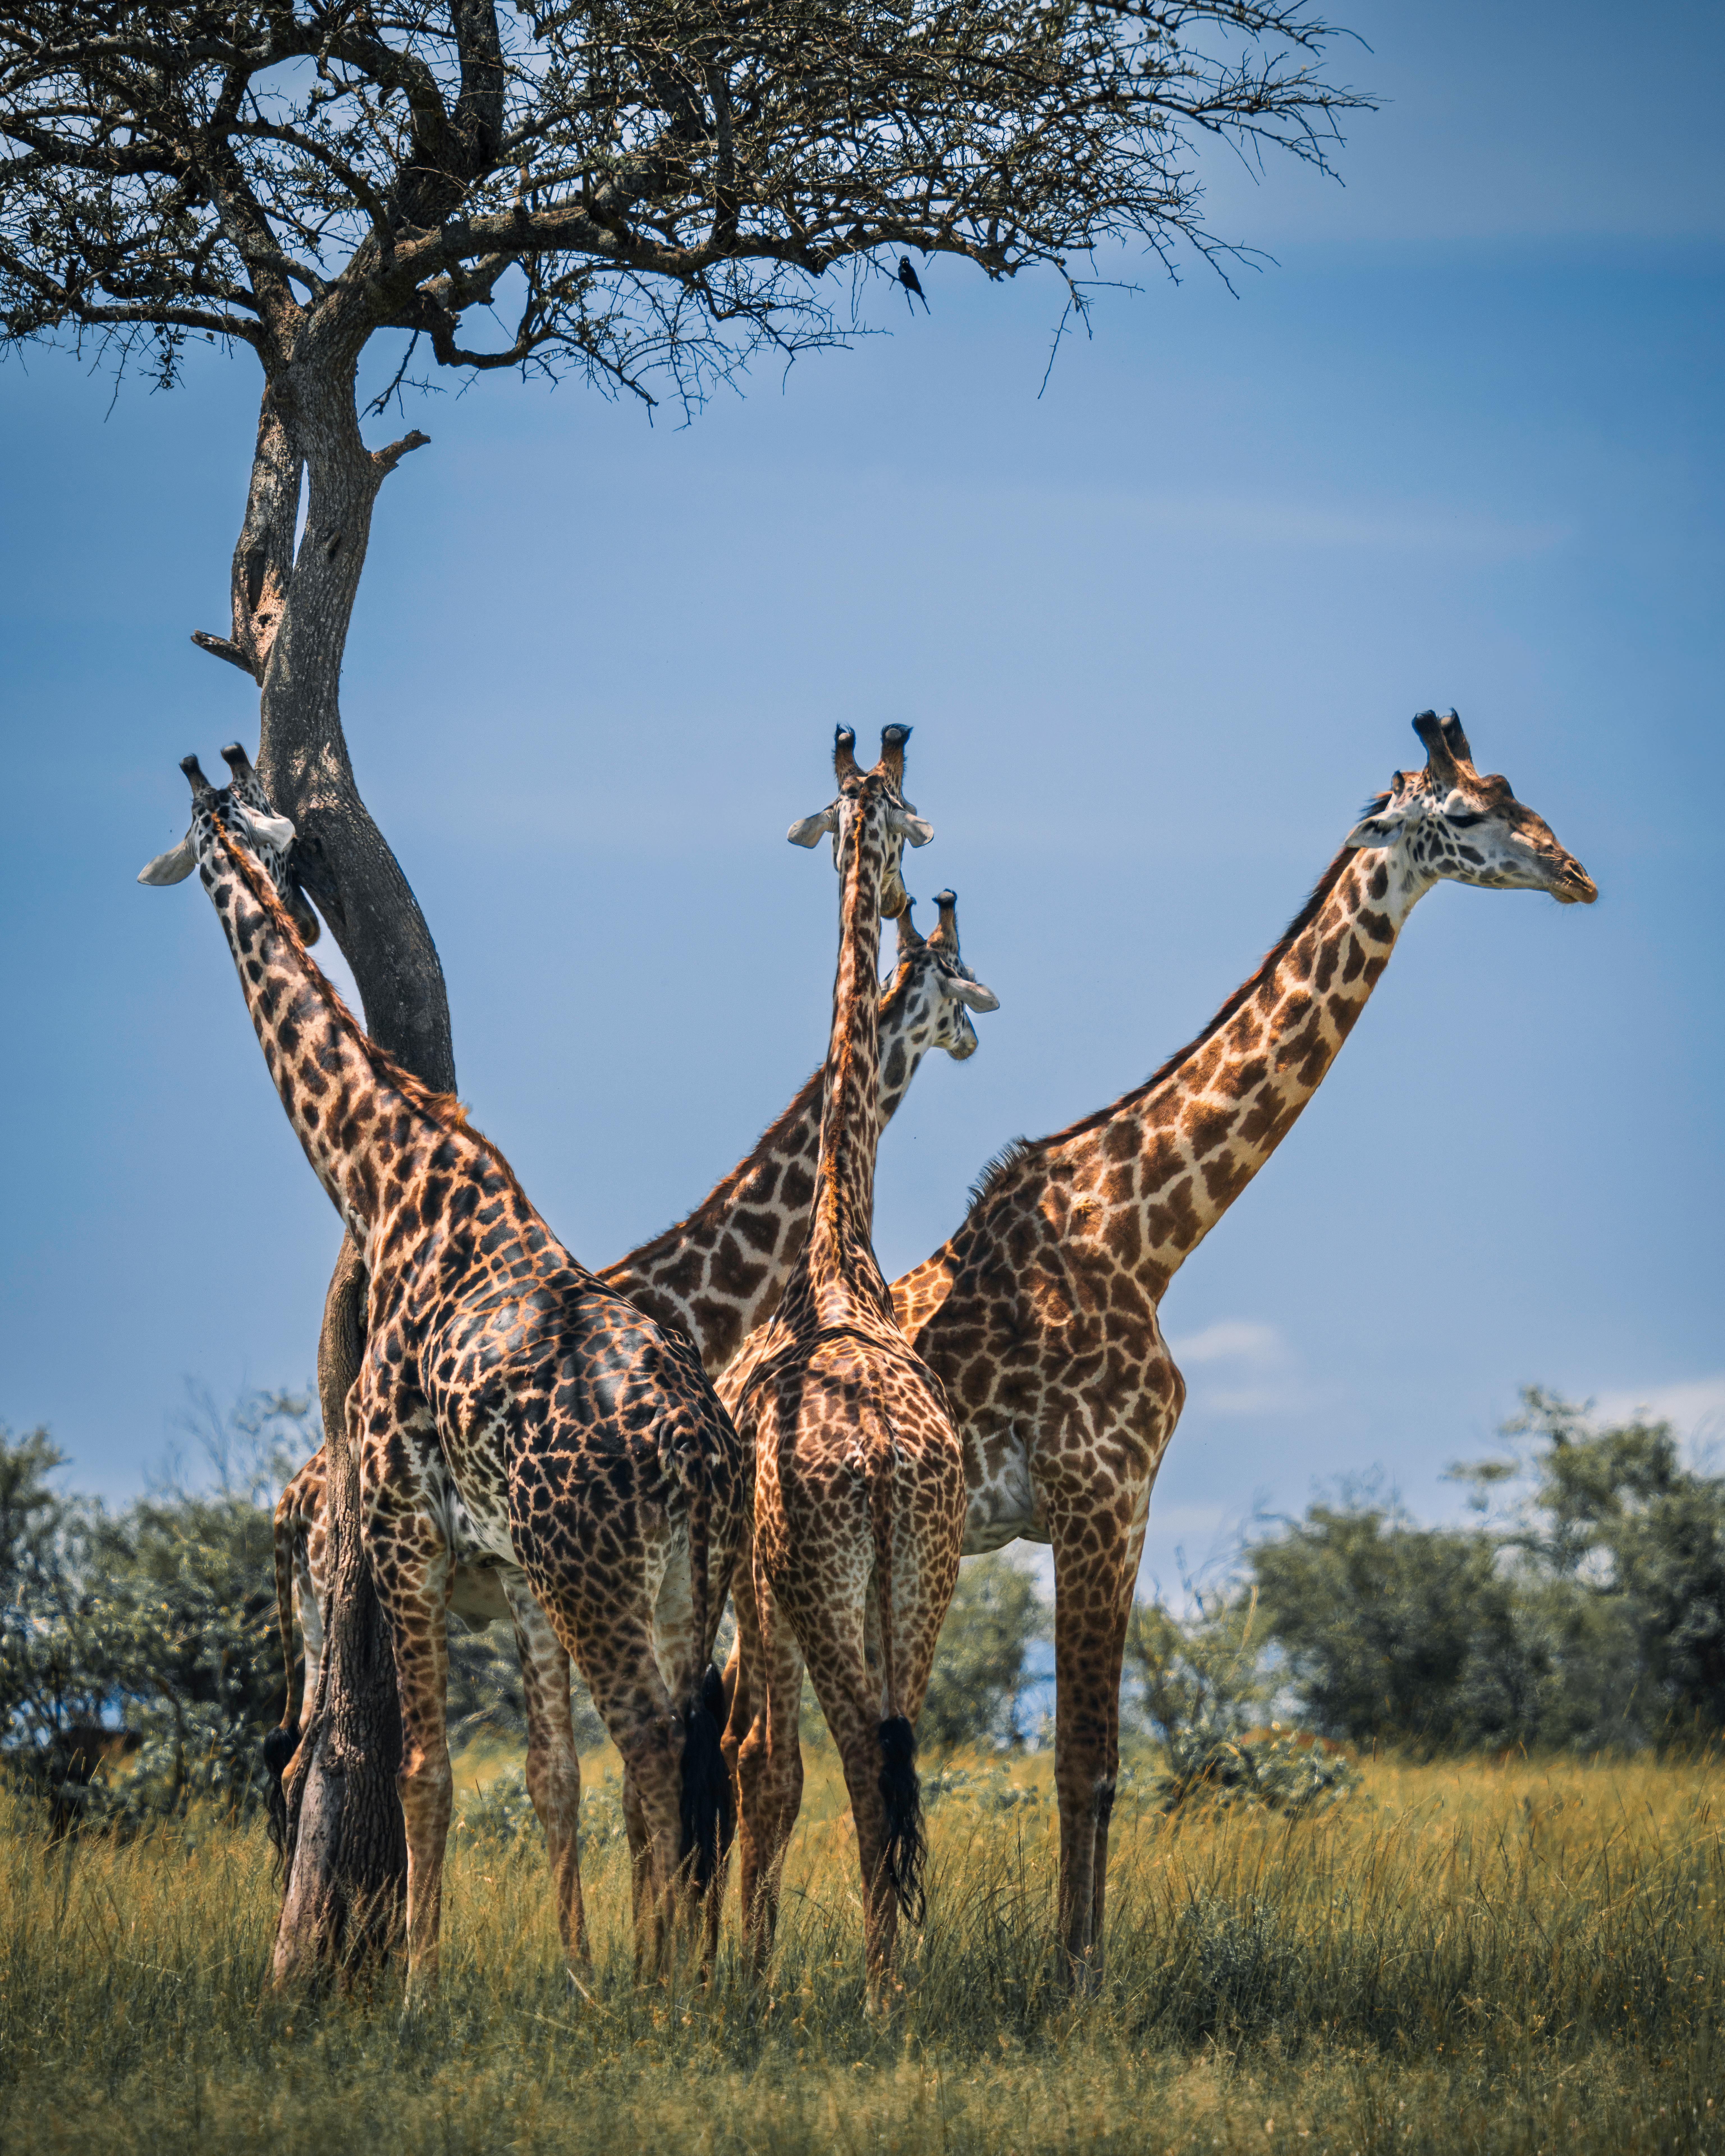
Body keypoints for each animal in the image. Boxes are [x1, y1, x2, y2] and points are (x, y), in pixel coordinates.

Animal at [139, 745, 748, 1989]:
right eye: (283, 843)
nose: (302, 911)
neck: (385, 1174)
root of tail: (699, 1451)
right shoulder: (504, 1565)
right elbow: (544, 1776)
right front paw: (564, 1979)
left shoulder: (401, 1523)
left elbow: (425, 1769)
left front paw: (419, 1989)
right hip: (686, 1576)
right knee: (689, 1745)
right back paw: (683, 1977)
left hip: (593, 1569)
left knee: (647, 1743)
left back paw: (660, 1989)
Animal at [264, 886, 998, 1865]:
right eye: (959, 979)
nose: (977, 1035)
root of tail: (288, 1502)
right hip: (351, 1594)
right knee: (306, 1760)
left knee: (296, 1758)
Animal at [888, 710, 1597, 1982]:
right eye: (1469, 812)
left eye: (1525, 793)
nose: (1575, 874)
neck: (1144, 1231)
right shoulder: (1097, 1494)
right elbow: (1083, 1763)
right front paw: (1076, 1983)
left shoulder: (1124, 1504)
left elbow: (1095, 1763)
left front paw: (1080, 1967)